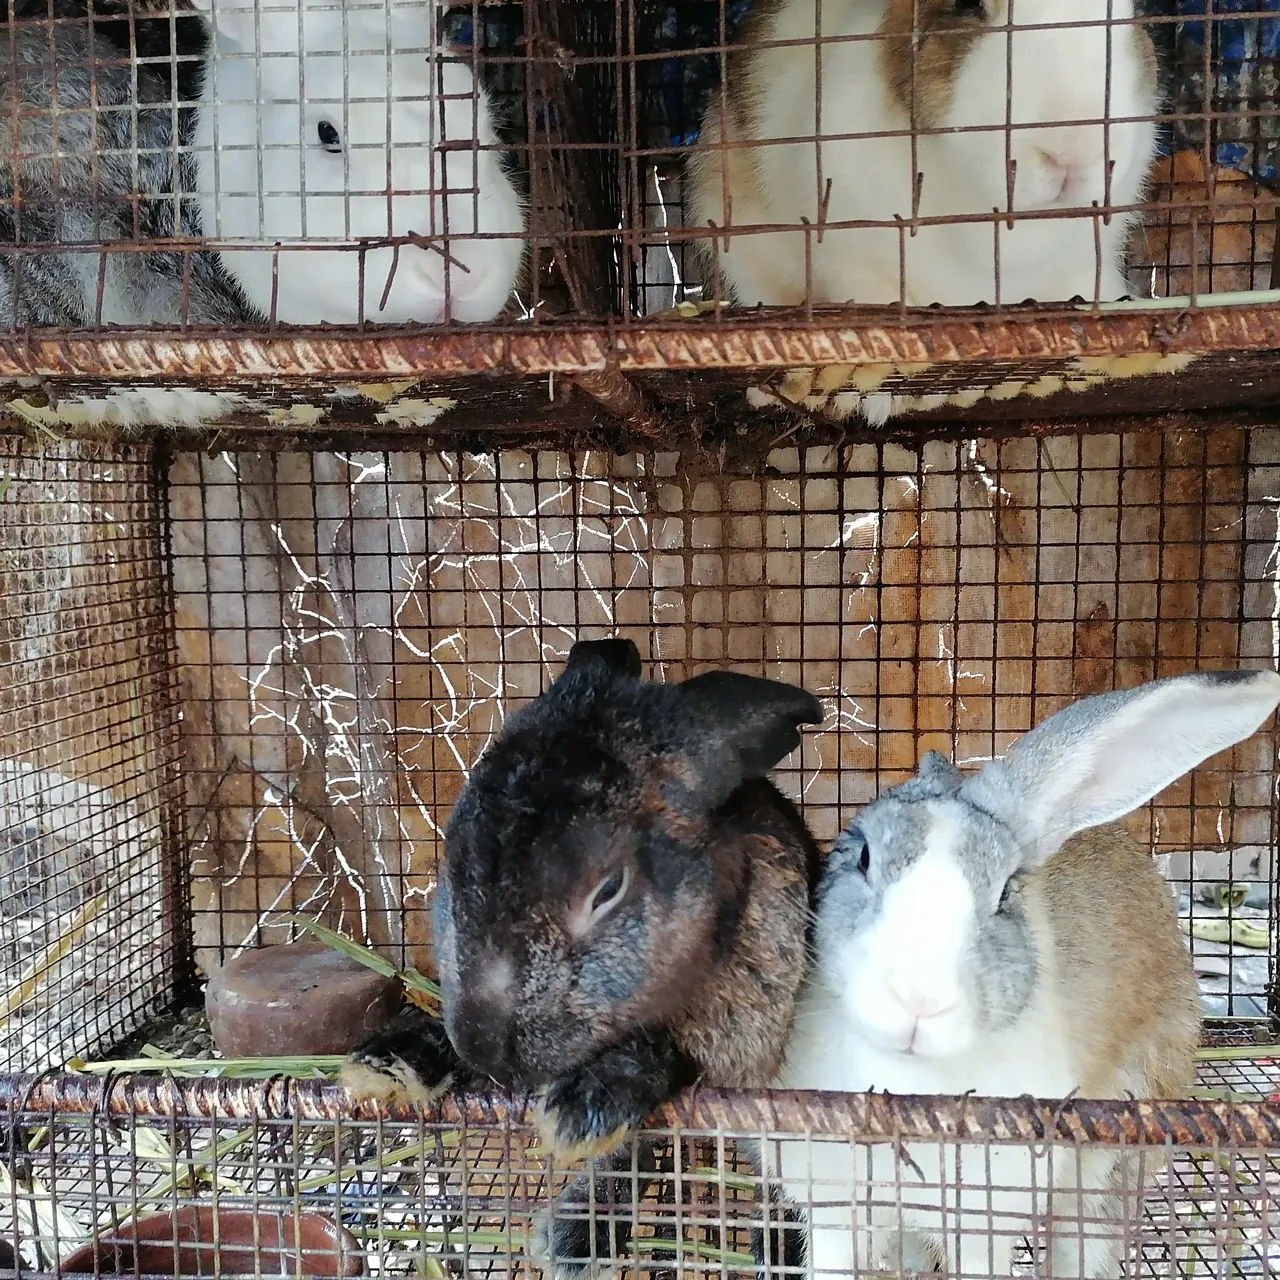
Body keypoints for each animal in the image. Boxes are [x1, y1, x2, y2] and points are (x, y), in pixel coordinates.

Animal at [342, 637, 825, 1277]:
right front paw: (394, 1059)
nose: (484, 1047)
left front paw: (584, 1105)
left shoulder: (744, 1043)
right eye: (454, 856)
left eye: (608, 889)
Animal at [770, 667, 1280, 1280]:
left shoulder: (985, 1220)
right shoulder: (837, 1213)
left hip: (1104, 1168)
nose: (919, 999)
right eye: (864, 856)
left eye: (1004, 893)